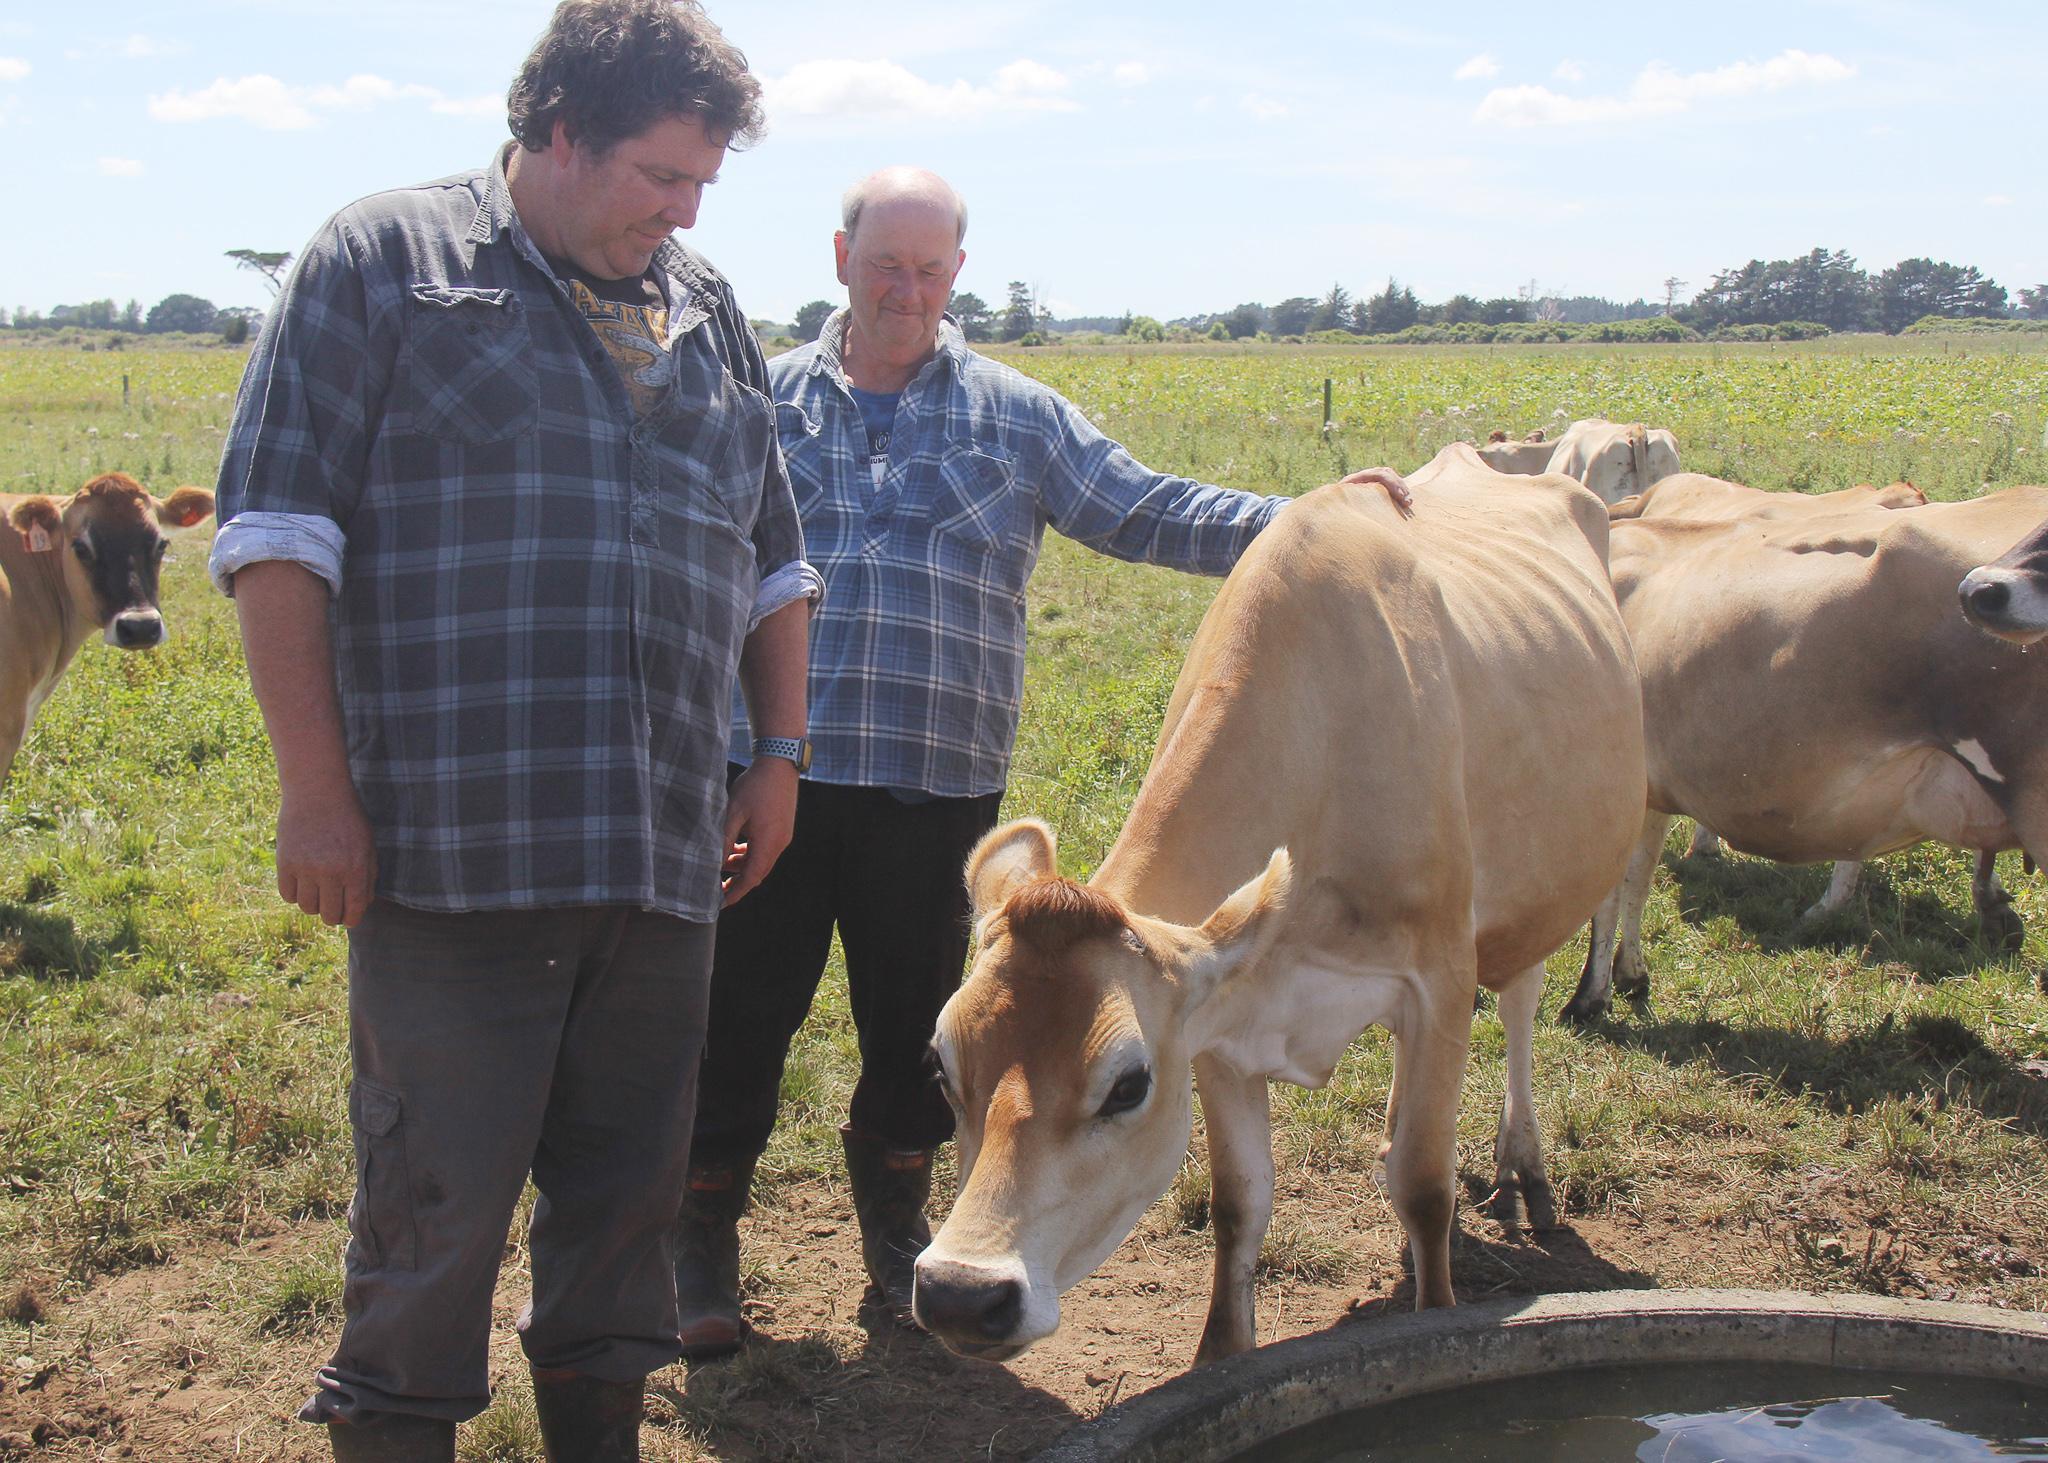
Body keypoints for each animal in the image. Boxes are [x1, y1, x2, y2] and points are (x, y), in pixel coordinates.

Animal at [912, 443, 1647, 1365]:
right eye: (942, 1064)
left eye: (1128, 1084)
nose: (960, 1291)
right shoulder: (1223, 1021)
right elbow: (1240, 1205)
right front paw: (1219, 1353)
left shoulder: (1440, 979)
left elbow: (1425, 1185)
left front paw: (1435, 1308)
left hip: (1540, 890)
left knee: (1518, 1003)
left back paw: (1525, 1161)